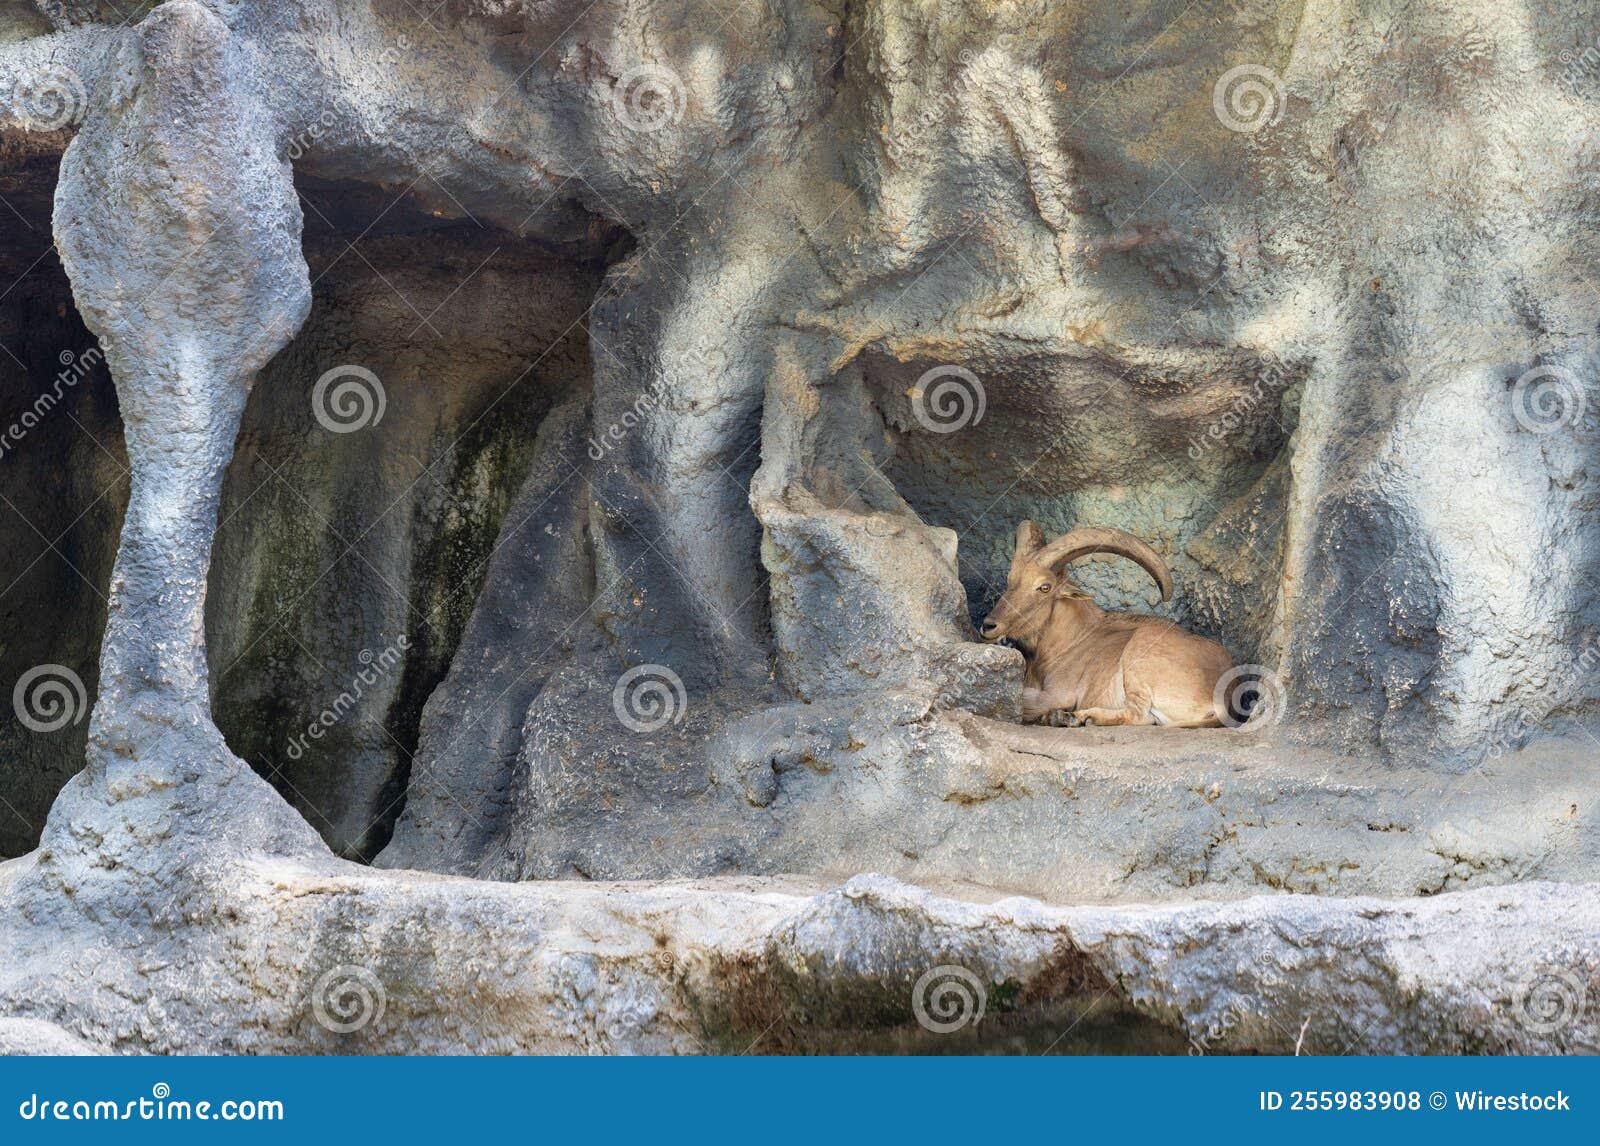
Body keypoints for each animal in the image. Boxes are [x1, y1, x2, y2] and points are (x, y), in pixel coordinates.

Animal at [980, 521, 1235, 727]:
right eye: (1010, 579)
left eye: (1044, 587)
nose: (989, 626)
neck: (1071, 641)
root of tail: (1222, 698)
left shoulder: (1058, 695)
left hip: (1141, 653)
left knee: (1140, 716)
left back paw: (1077, 717)